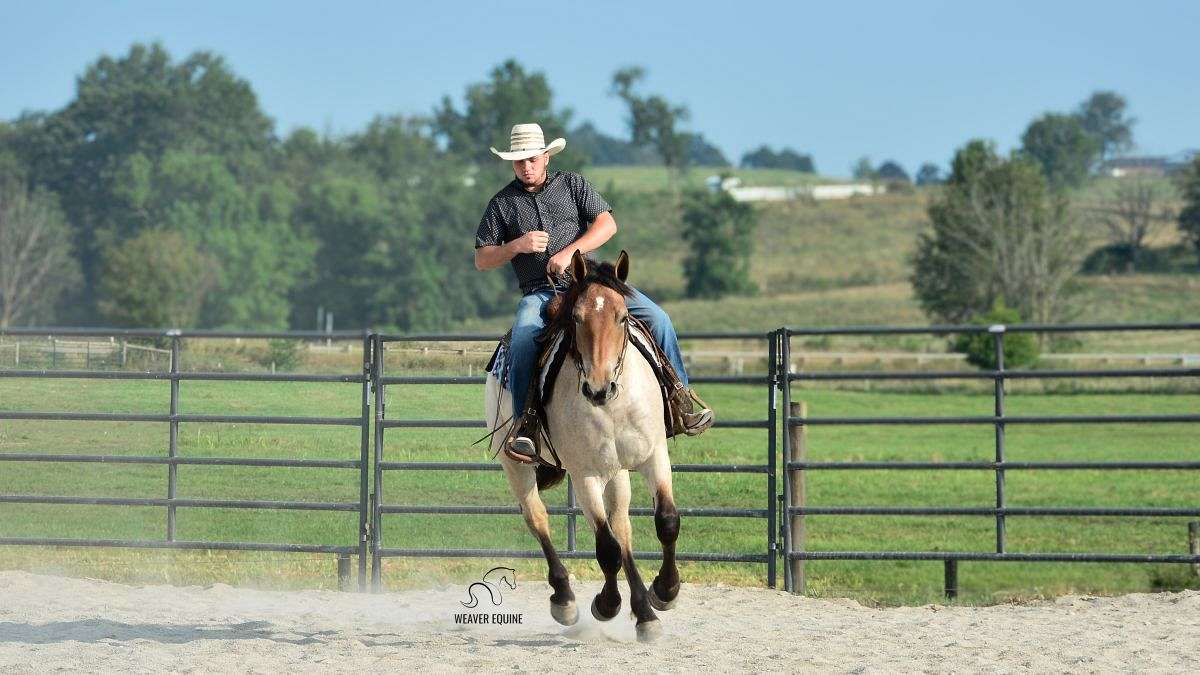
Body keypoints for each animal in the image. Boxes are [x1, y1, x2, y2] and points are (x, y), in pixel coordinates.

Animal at [484, 249, 681, 643]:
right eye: (576, 318)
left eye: (622, 317)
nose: (598, 387)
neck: (612, 405)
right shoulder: (584, 472)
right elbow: (606, 549)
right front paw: (606, 605)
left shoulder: (654, 456)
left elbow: (665, 522)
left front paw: (664, 592)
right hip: (516, 465)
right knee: (538, 518)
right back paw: (565, 599)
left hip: (616, 472)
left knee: (622, 529)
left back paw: (643, 610)